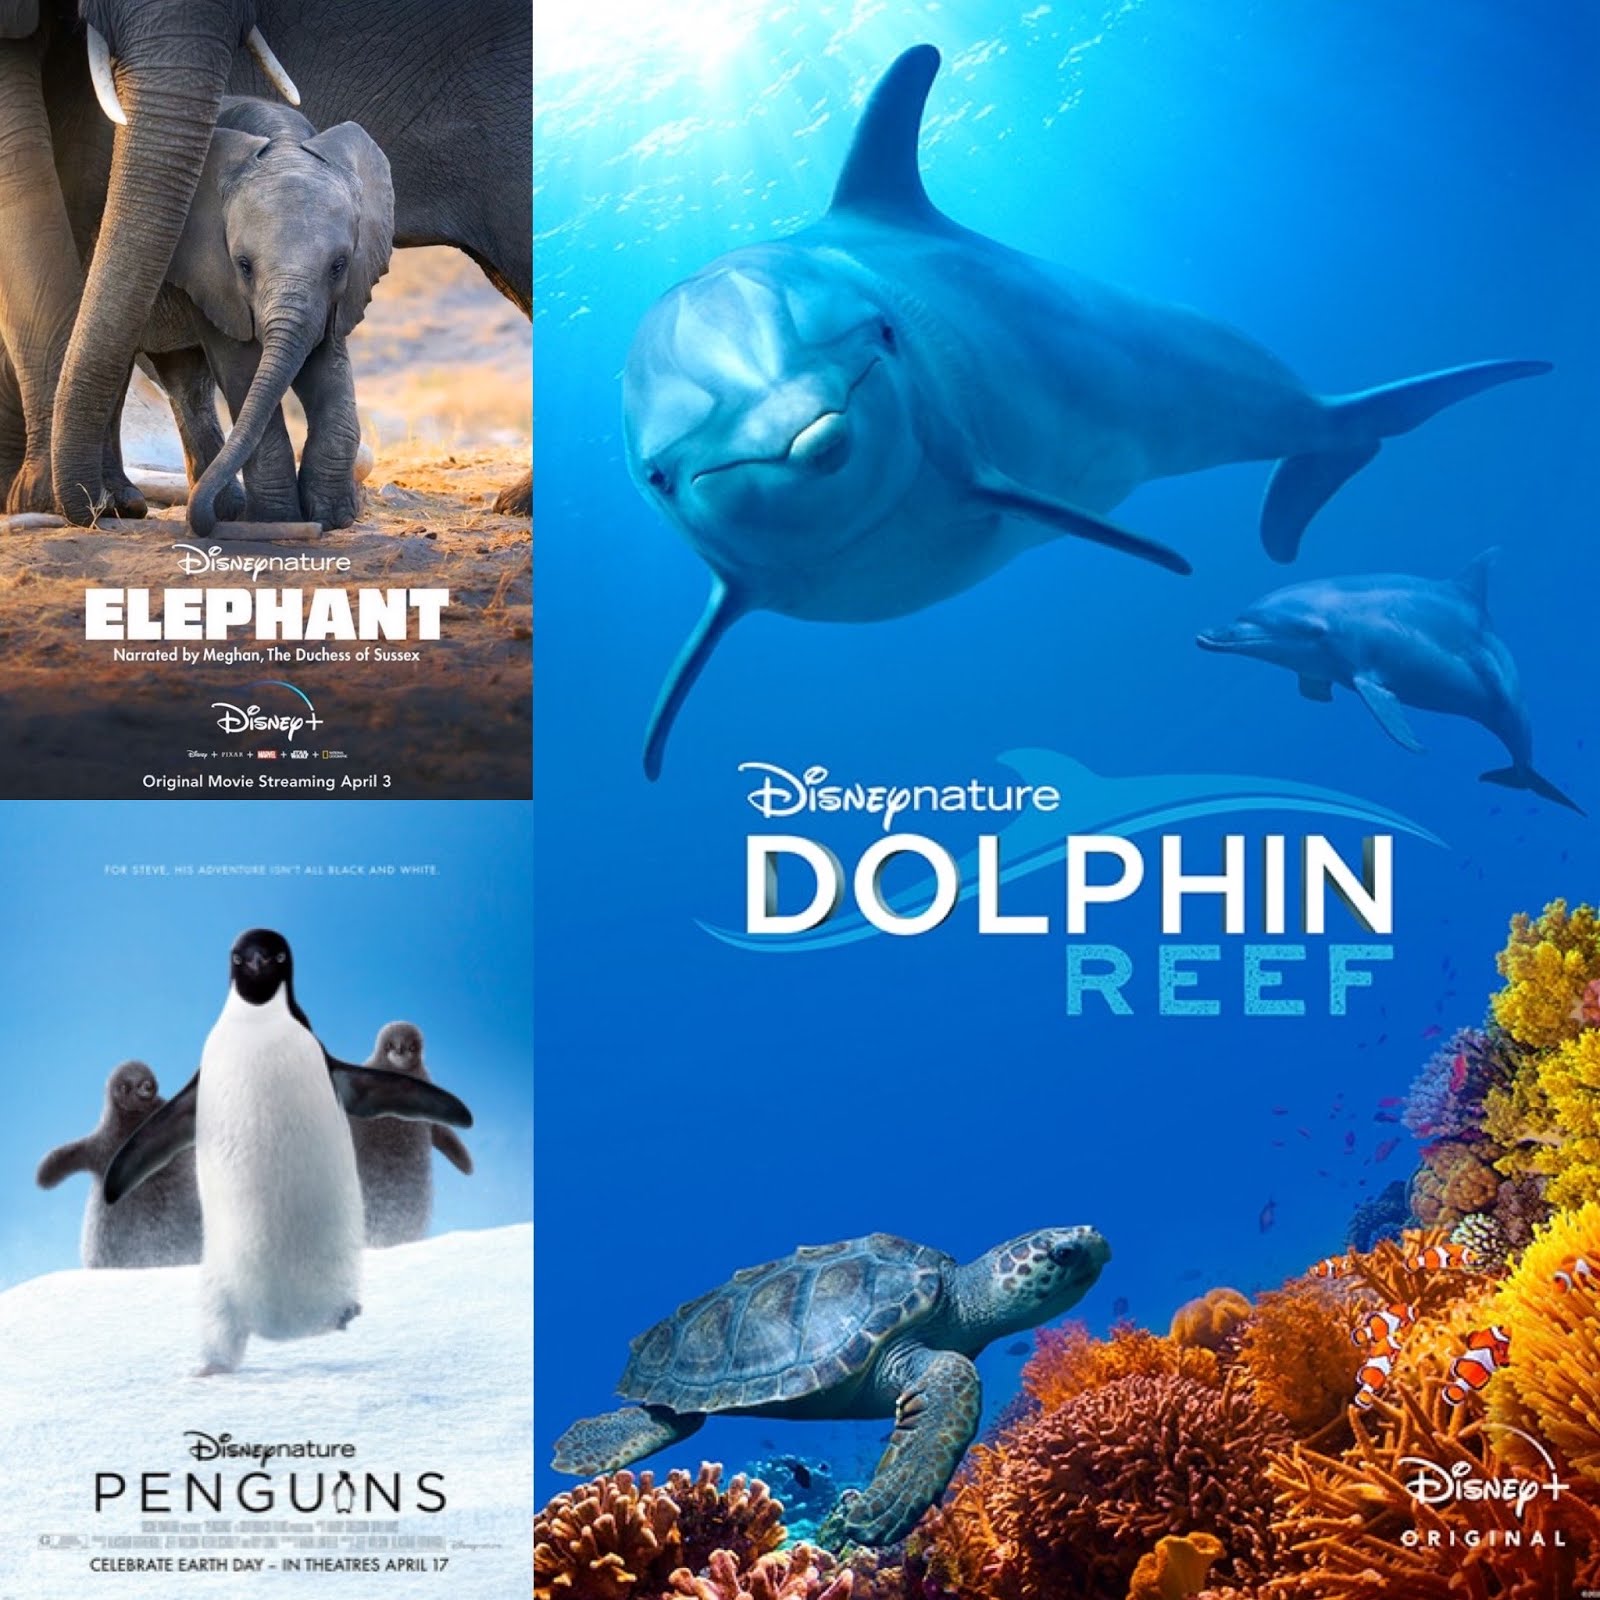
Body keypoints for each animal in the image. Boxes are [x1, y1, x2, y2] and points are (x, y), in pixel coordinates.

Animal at [148, 96, 393, 533]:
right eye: (244, 266)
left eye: (339, 265)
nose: (201, 521)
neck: (282, 142)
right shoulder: (210, 271)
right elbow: (244, 369)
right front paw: (276, 520)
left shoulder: (335, 298)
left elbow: (326, 365)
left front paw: (333, 518)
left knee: (183, 380)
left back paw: (224, 509)